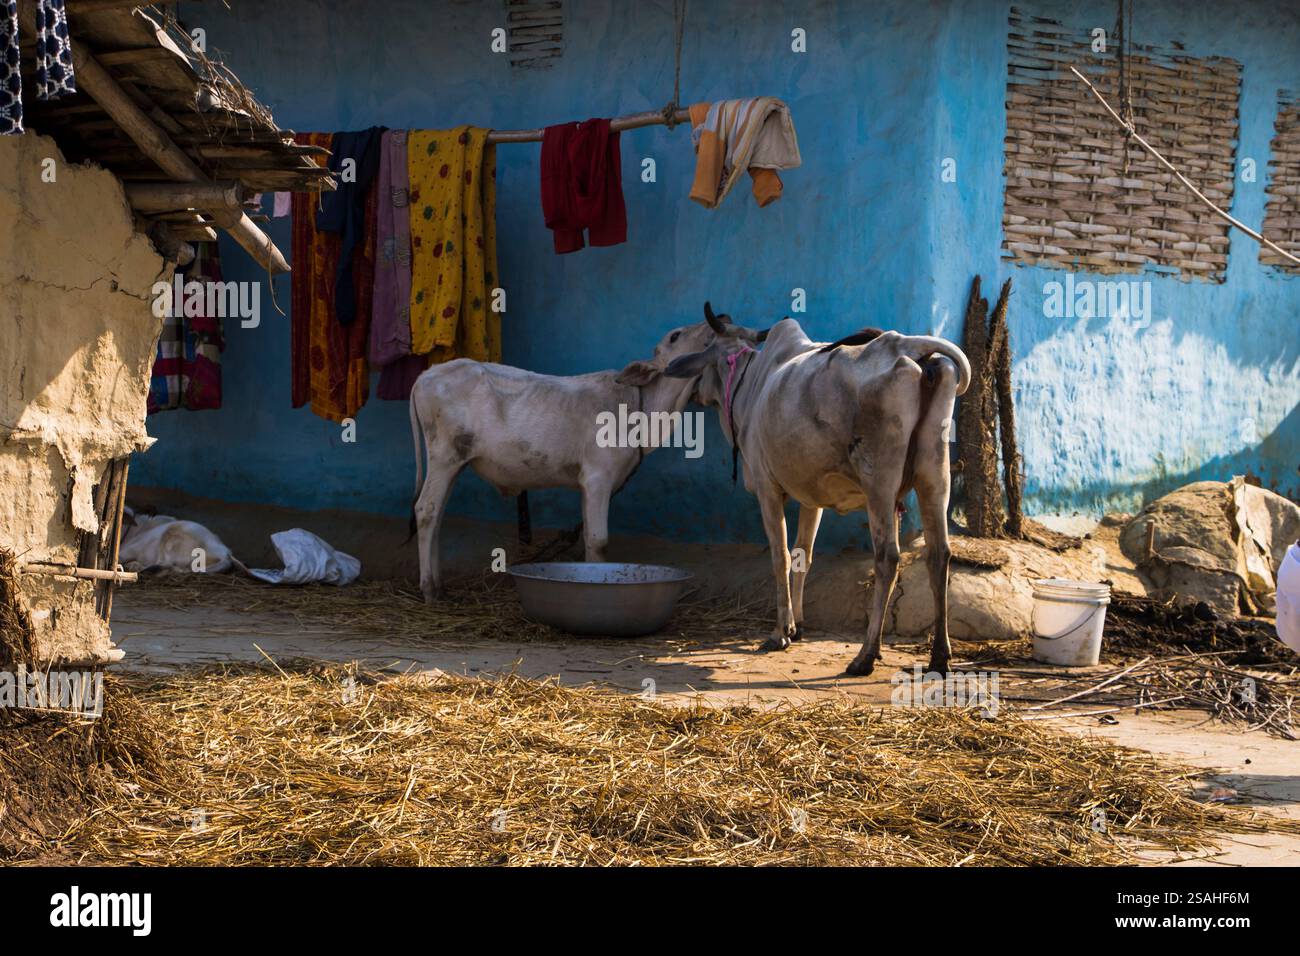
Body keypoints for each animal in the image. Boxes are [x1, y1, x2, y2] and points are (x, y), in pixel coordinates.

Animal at [408, 321, 716, 602]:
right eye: (675, 335)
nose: (720, 318)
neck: (642, 411)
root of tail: (425, 375)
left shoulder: (587, 484)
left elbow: (590, 537)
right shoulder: (598, 476)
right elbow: (599, 541)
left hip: (454, 462)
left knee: (437, 515)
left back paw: (439, 585)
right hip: (445, 455)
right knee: (426, 510)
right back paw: (430, 589)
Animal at [664, 303, 971, 676]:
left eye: (707, 346)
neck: (752, 385)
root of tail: (908, 345)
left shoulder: (767, 489)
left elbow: (781, 556)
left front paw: (780, 633)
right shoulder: (812, 499)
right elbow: (803, 556)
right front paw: (797, 626)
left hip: (879, 483)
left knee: (888, 557)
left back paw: (865, 655)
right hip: (934, 476)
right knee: (939, 554)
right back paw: (939, 655)